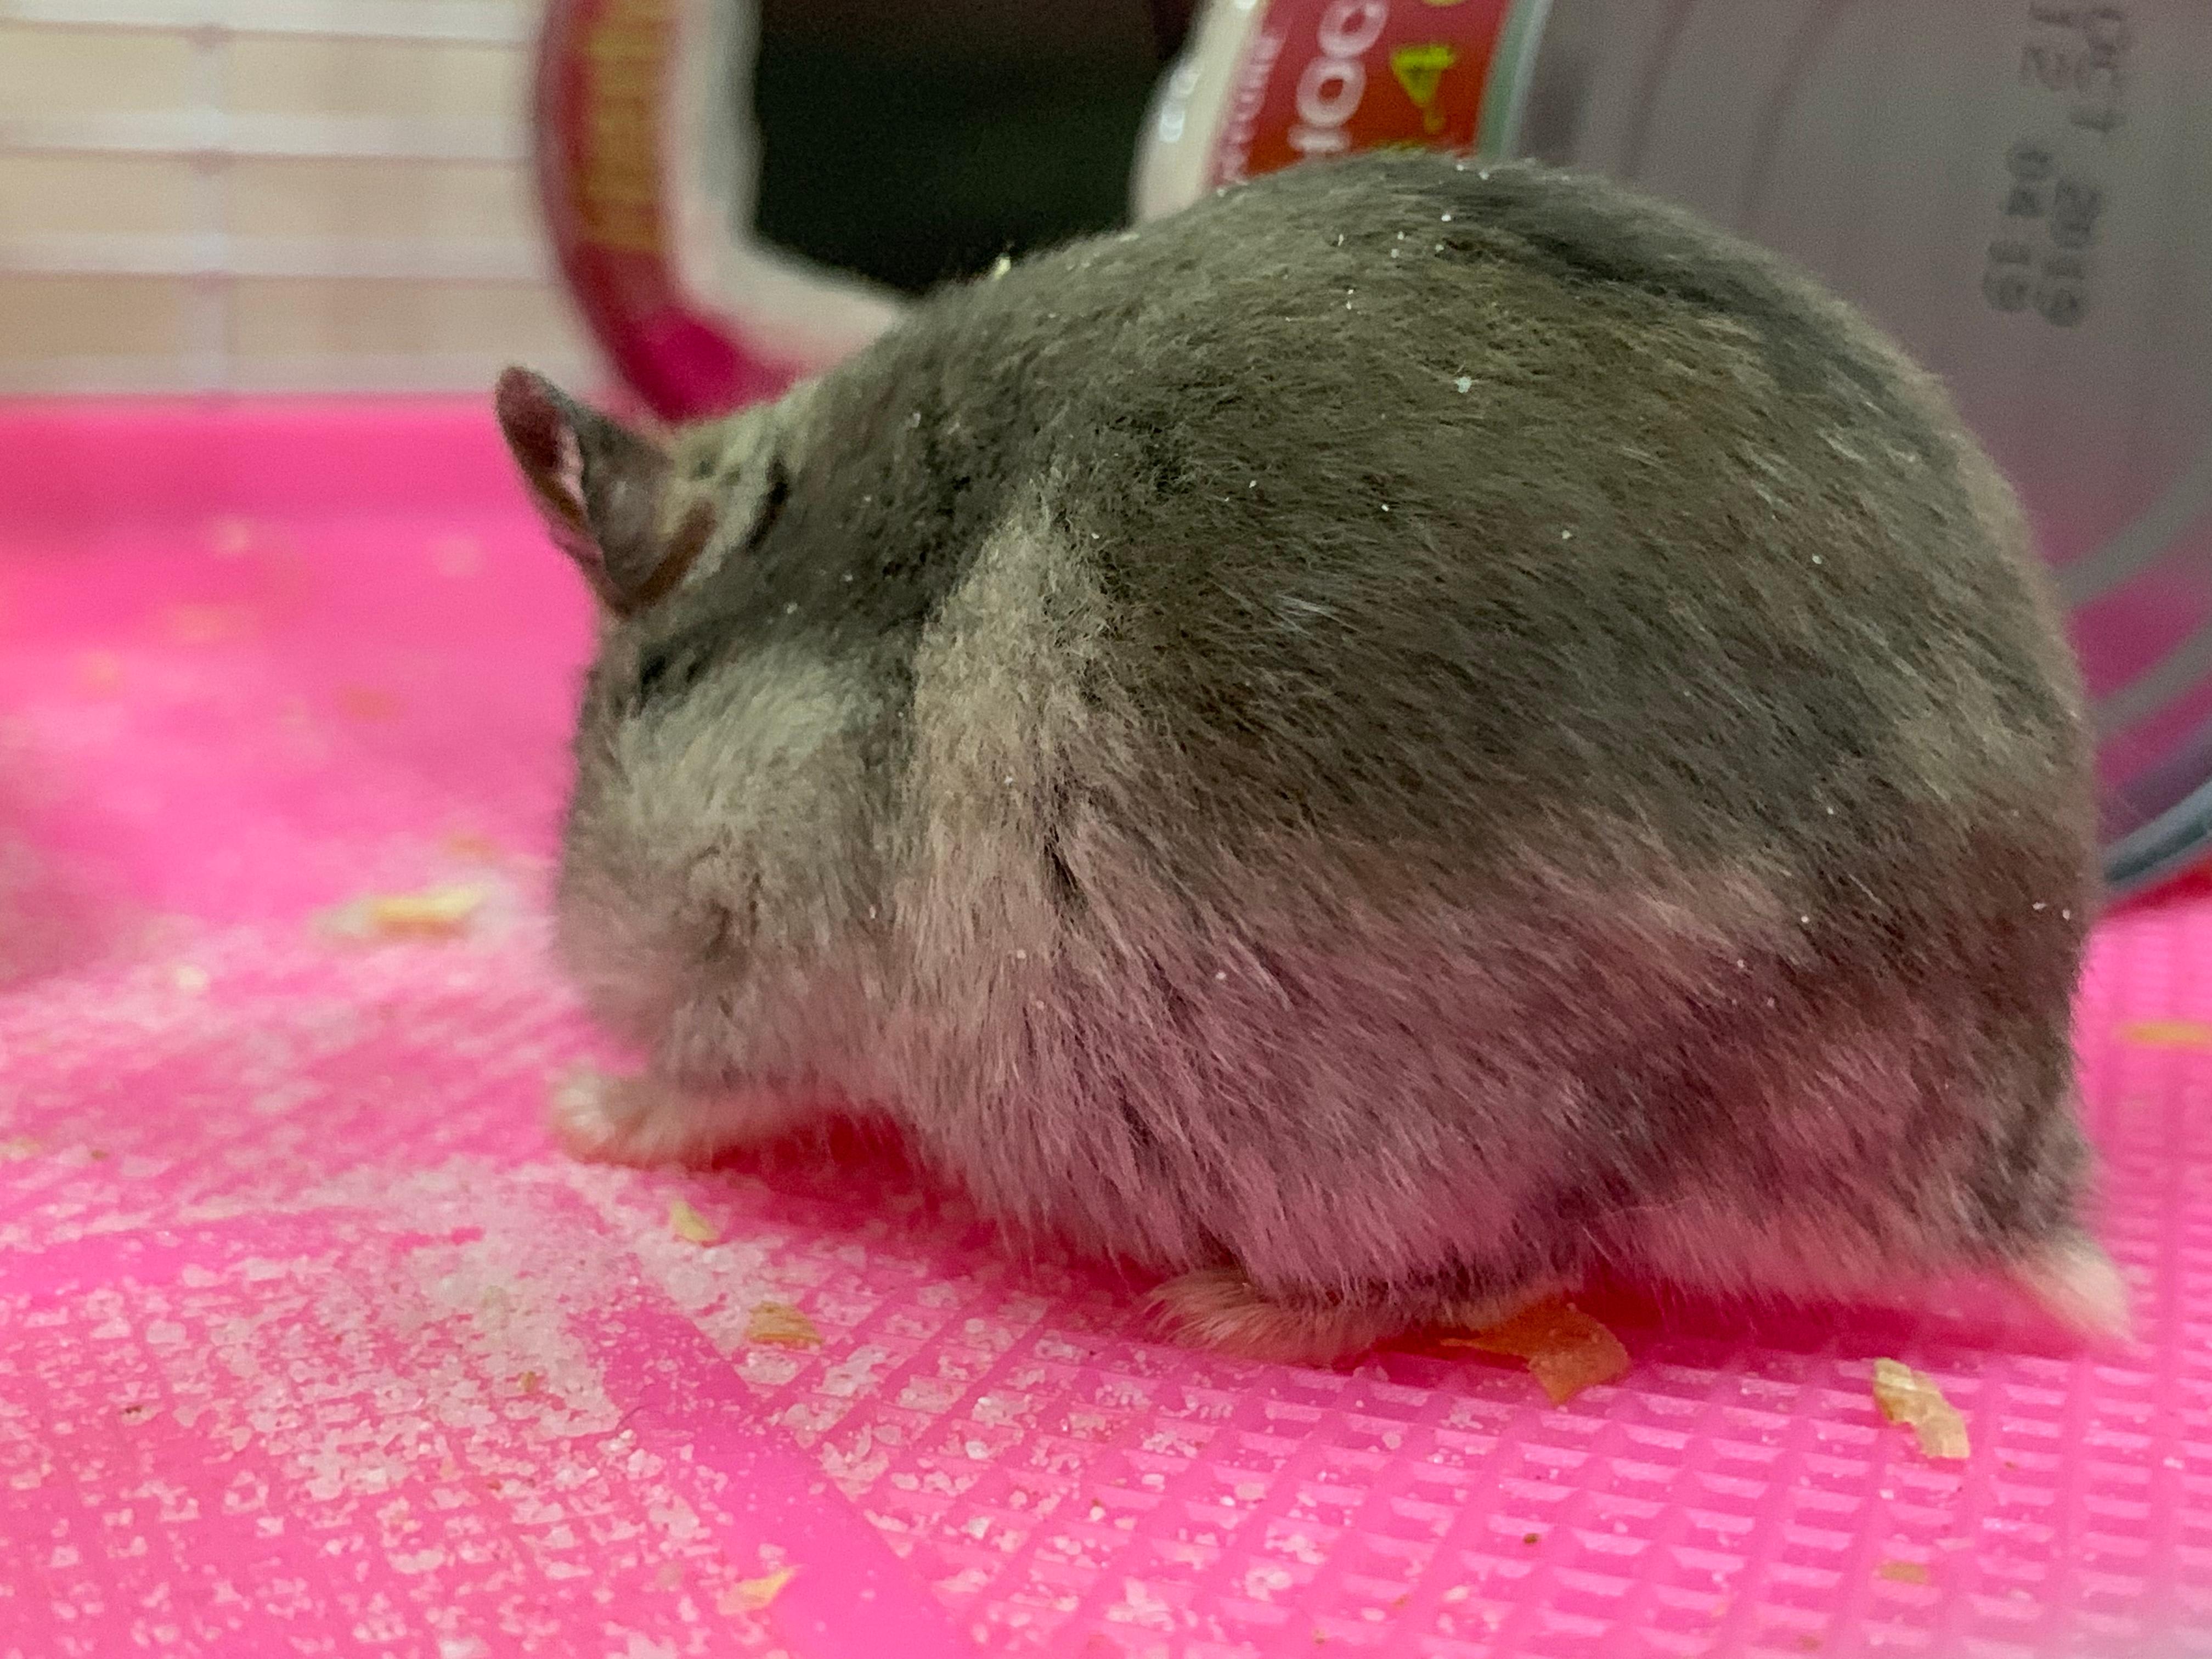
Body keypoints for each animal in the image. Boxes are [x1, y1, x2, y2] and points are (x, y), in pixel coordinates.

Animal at [496, 151, 2127, 1364]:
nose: (575, 963)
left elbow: (721, 1076)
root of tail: (2000, 1181)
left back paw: (1225, 1311)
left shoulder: (774, 970)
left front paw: (589, 1111)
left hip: (1449, 1135)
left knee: (1501, 1273)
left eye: (644, 691)